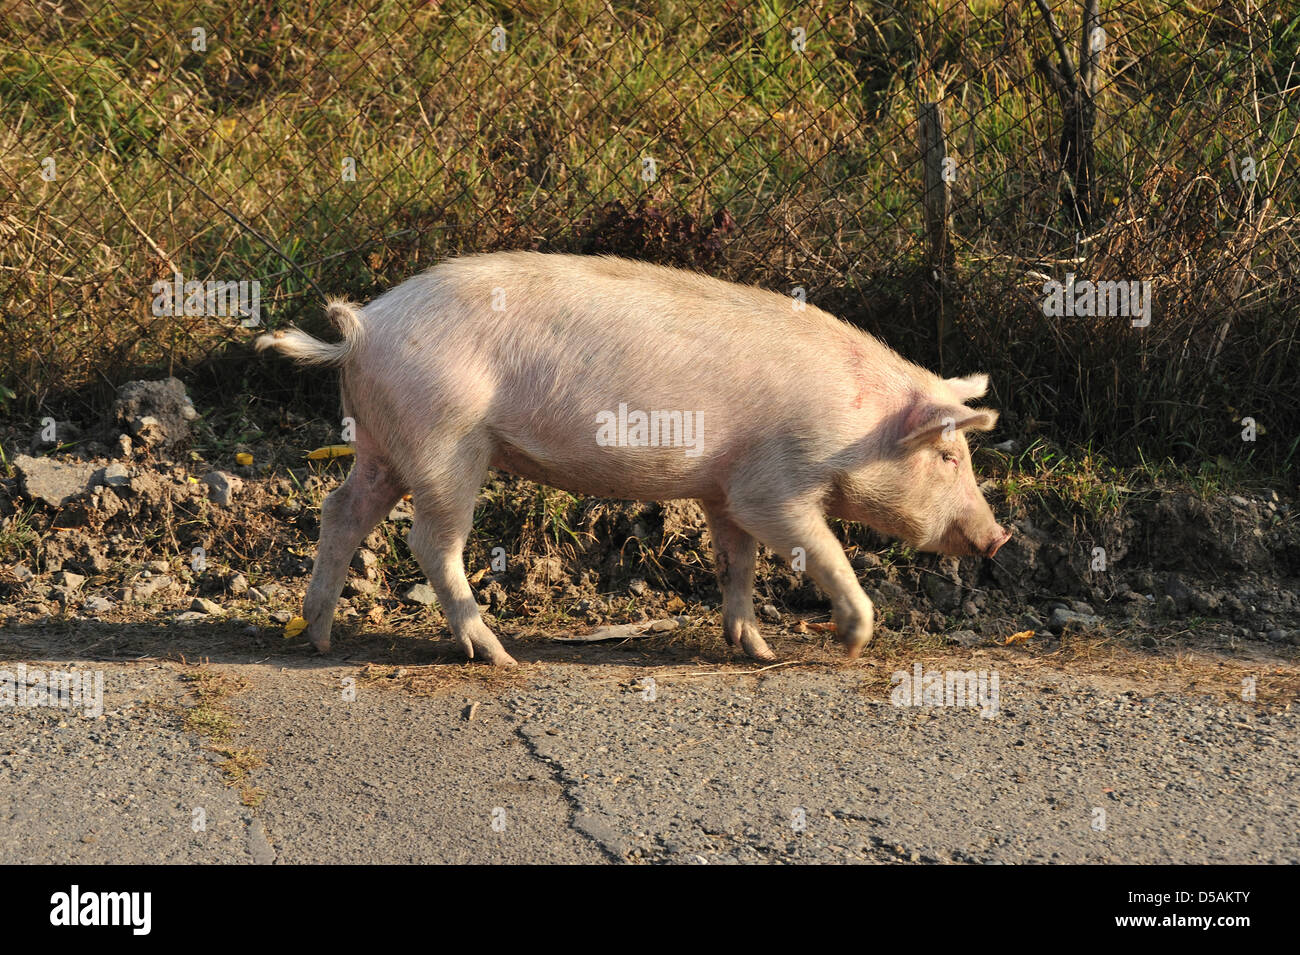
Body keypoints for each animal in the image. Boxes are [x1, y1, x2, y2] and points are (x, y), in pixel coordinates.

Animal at [256, 252, 1009, 666]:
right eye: (948, 454)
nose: (998, 536)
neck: (852, 422)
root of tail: (362, 328)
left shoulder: (723, 487)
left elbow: (736, 561)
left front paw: (756, 648)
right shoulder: (772, 484)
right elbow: (818, 547)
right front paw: (847, 644)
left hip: (382, 444)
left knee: (341, 510)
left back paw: (318, 637)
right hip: (445, 441)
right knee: (430, 542)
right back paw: (495, 654)